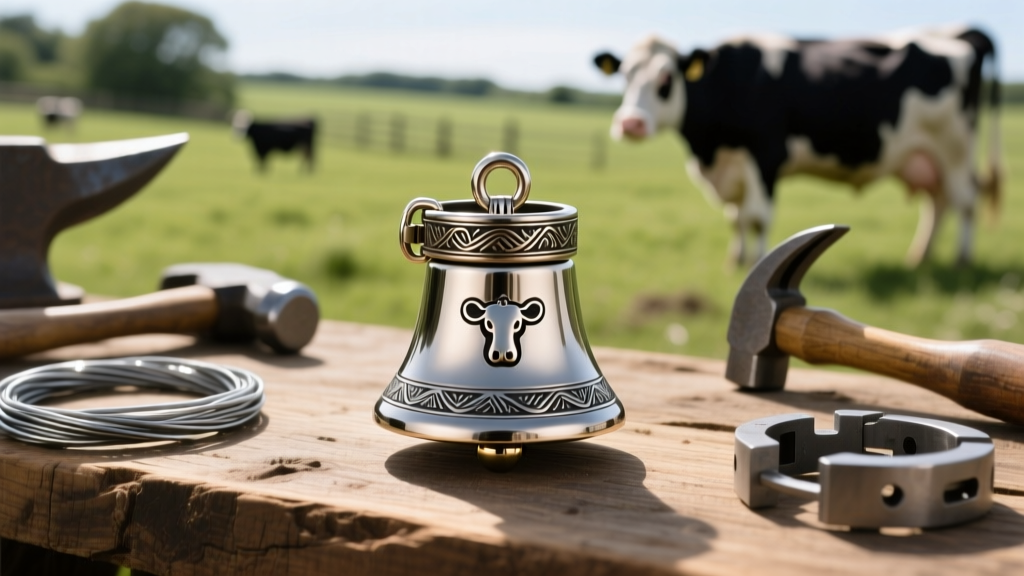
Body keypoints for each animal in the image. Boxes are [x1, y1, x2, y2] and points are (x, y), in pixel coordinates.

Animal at [594, 26, 1001, 267]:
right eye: (625, 75)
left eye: (666, 79)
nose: (630, 123)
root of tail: (958, 35)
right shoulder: (733, 166)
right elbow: (735, 217)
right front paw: (736, 259)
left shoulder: (765, 157)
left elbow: (757, 216)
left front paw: (754, 262)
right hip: (927, 156)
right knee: (938, 202)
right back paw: (920, 257)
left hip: (955, 147)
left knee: (965, 200)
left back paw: (962, 260)